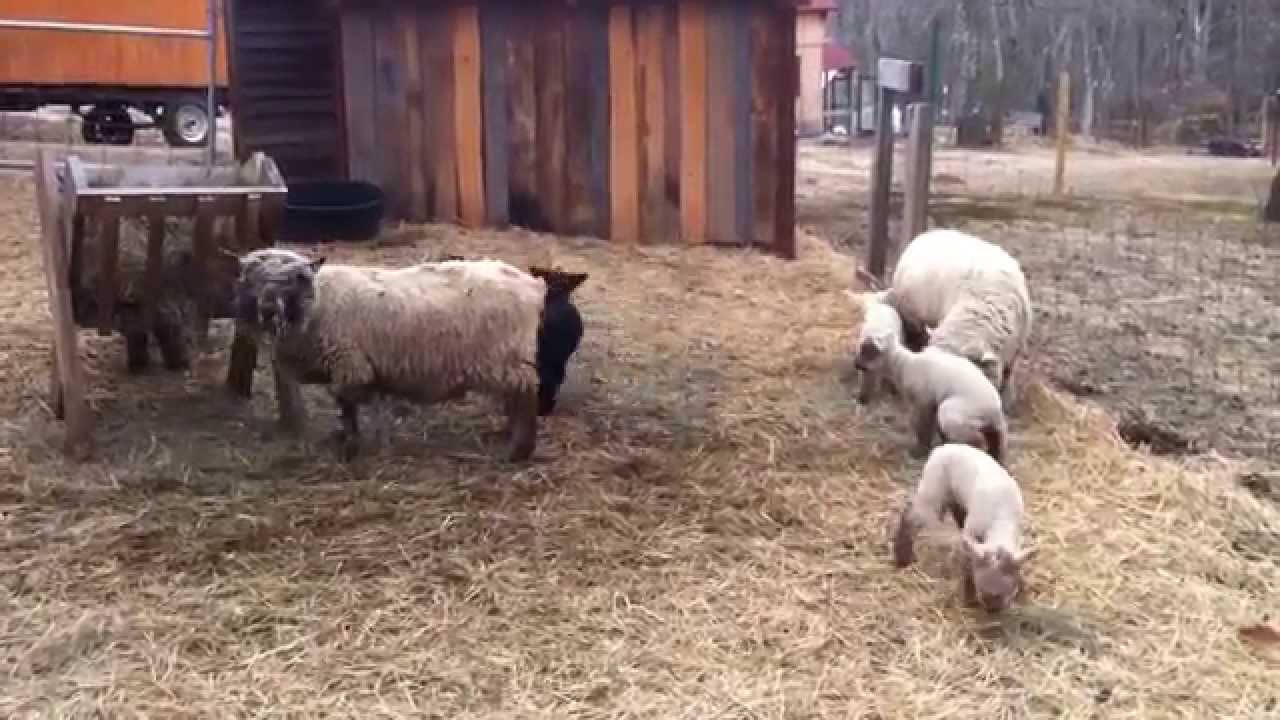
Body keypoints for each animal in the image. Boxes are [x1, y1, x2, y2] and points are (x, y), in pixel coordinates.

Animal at [229, 247, 546, 462]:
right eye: (251, 280)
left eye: (296, 279)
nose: (268, 311)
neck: (316, 304)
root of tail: (531, 285)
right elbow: (347, 408)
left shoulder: (349, 364)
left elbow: (347, 408)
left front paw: (349, 448)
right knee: (515, 398)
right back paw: (507, 434)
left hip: (505, 356)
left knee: (526, 394)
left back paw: (520, 450)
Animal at [853, 295, 1008, 464]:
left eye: (867, 351)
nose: (856, 364)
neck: (905, 365)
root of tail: (994, 410)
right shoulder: (932, 402)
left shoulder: (924, 401)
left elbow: (923, 427)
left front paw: (919, 451)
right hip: (988, 425)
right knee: (997, 441)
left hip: (953, 411)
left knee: (977, 440)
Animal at [890, 443, 1036, 613]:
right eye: (981, 588)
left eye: (1005, 591)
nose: (992, 609)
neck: (1001, 520)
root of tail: (943, 447)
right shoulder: (972, 532)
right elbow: (967, 562)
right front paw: (969, 598)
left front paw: (1022, 585)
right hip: (933, 490)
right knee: (910, 518)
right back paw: (903, 559)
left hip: (955, 498)